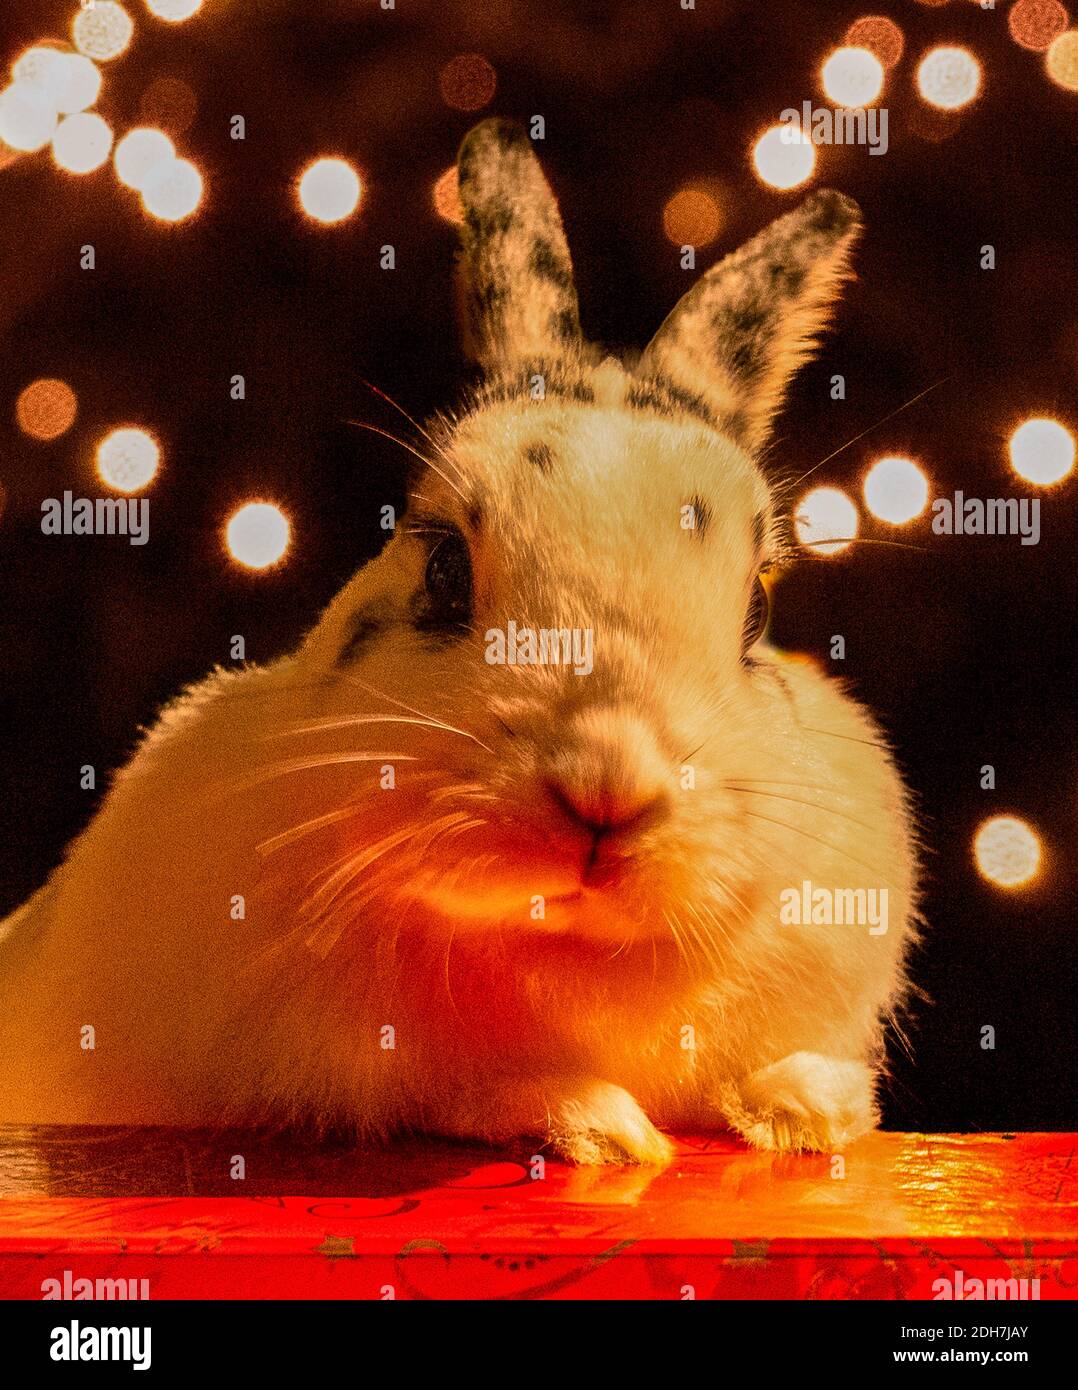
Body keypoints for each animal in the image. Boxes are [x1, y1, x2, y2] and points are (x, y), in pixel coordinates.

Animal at [0, 118, 918, 1163]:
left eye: (757, 611)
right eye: (443, 568)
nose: (607, 789)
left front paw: (806, 1110)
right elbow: (455, 1091)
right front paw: (596, 1125)